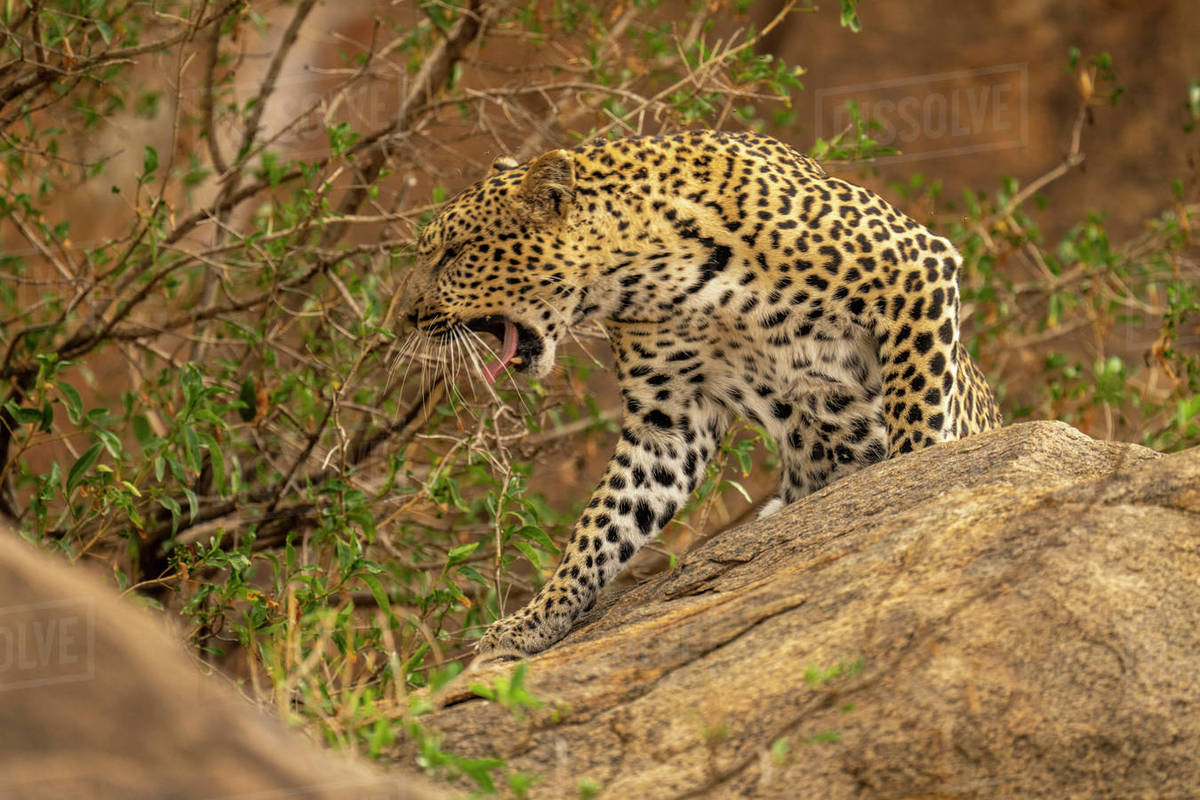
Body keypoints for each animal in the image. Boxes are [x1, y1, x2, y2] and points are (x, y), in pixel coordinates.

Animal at [403, 130, 1002, 660]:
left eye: (453, 253)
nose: (407, 315)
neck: (653, 273)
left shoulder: (914, 268)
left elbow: (915, 409)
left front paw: (908, 490)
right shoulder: (669, 420)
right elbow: (604, 522)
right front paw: (537, 619)